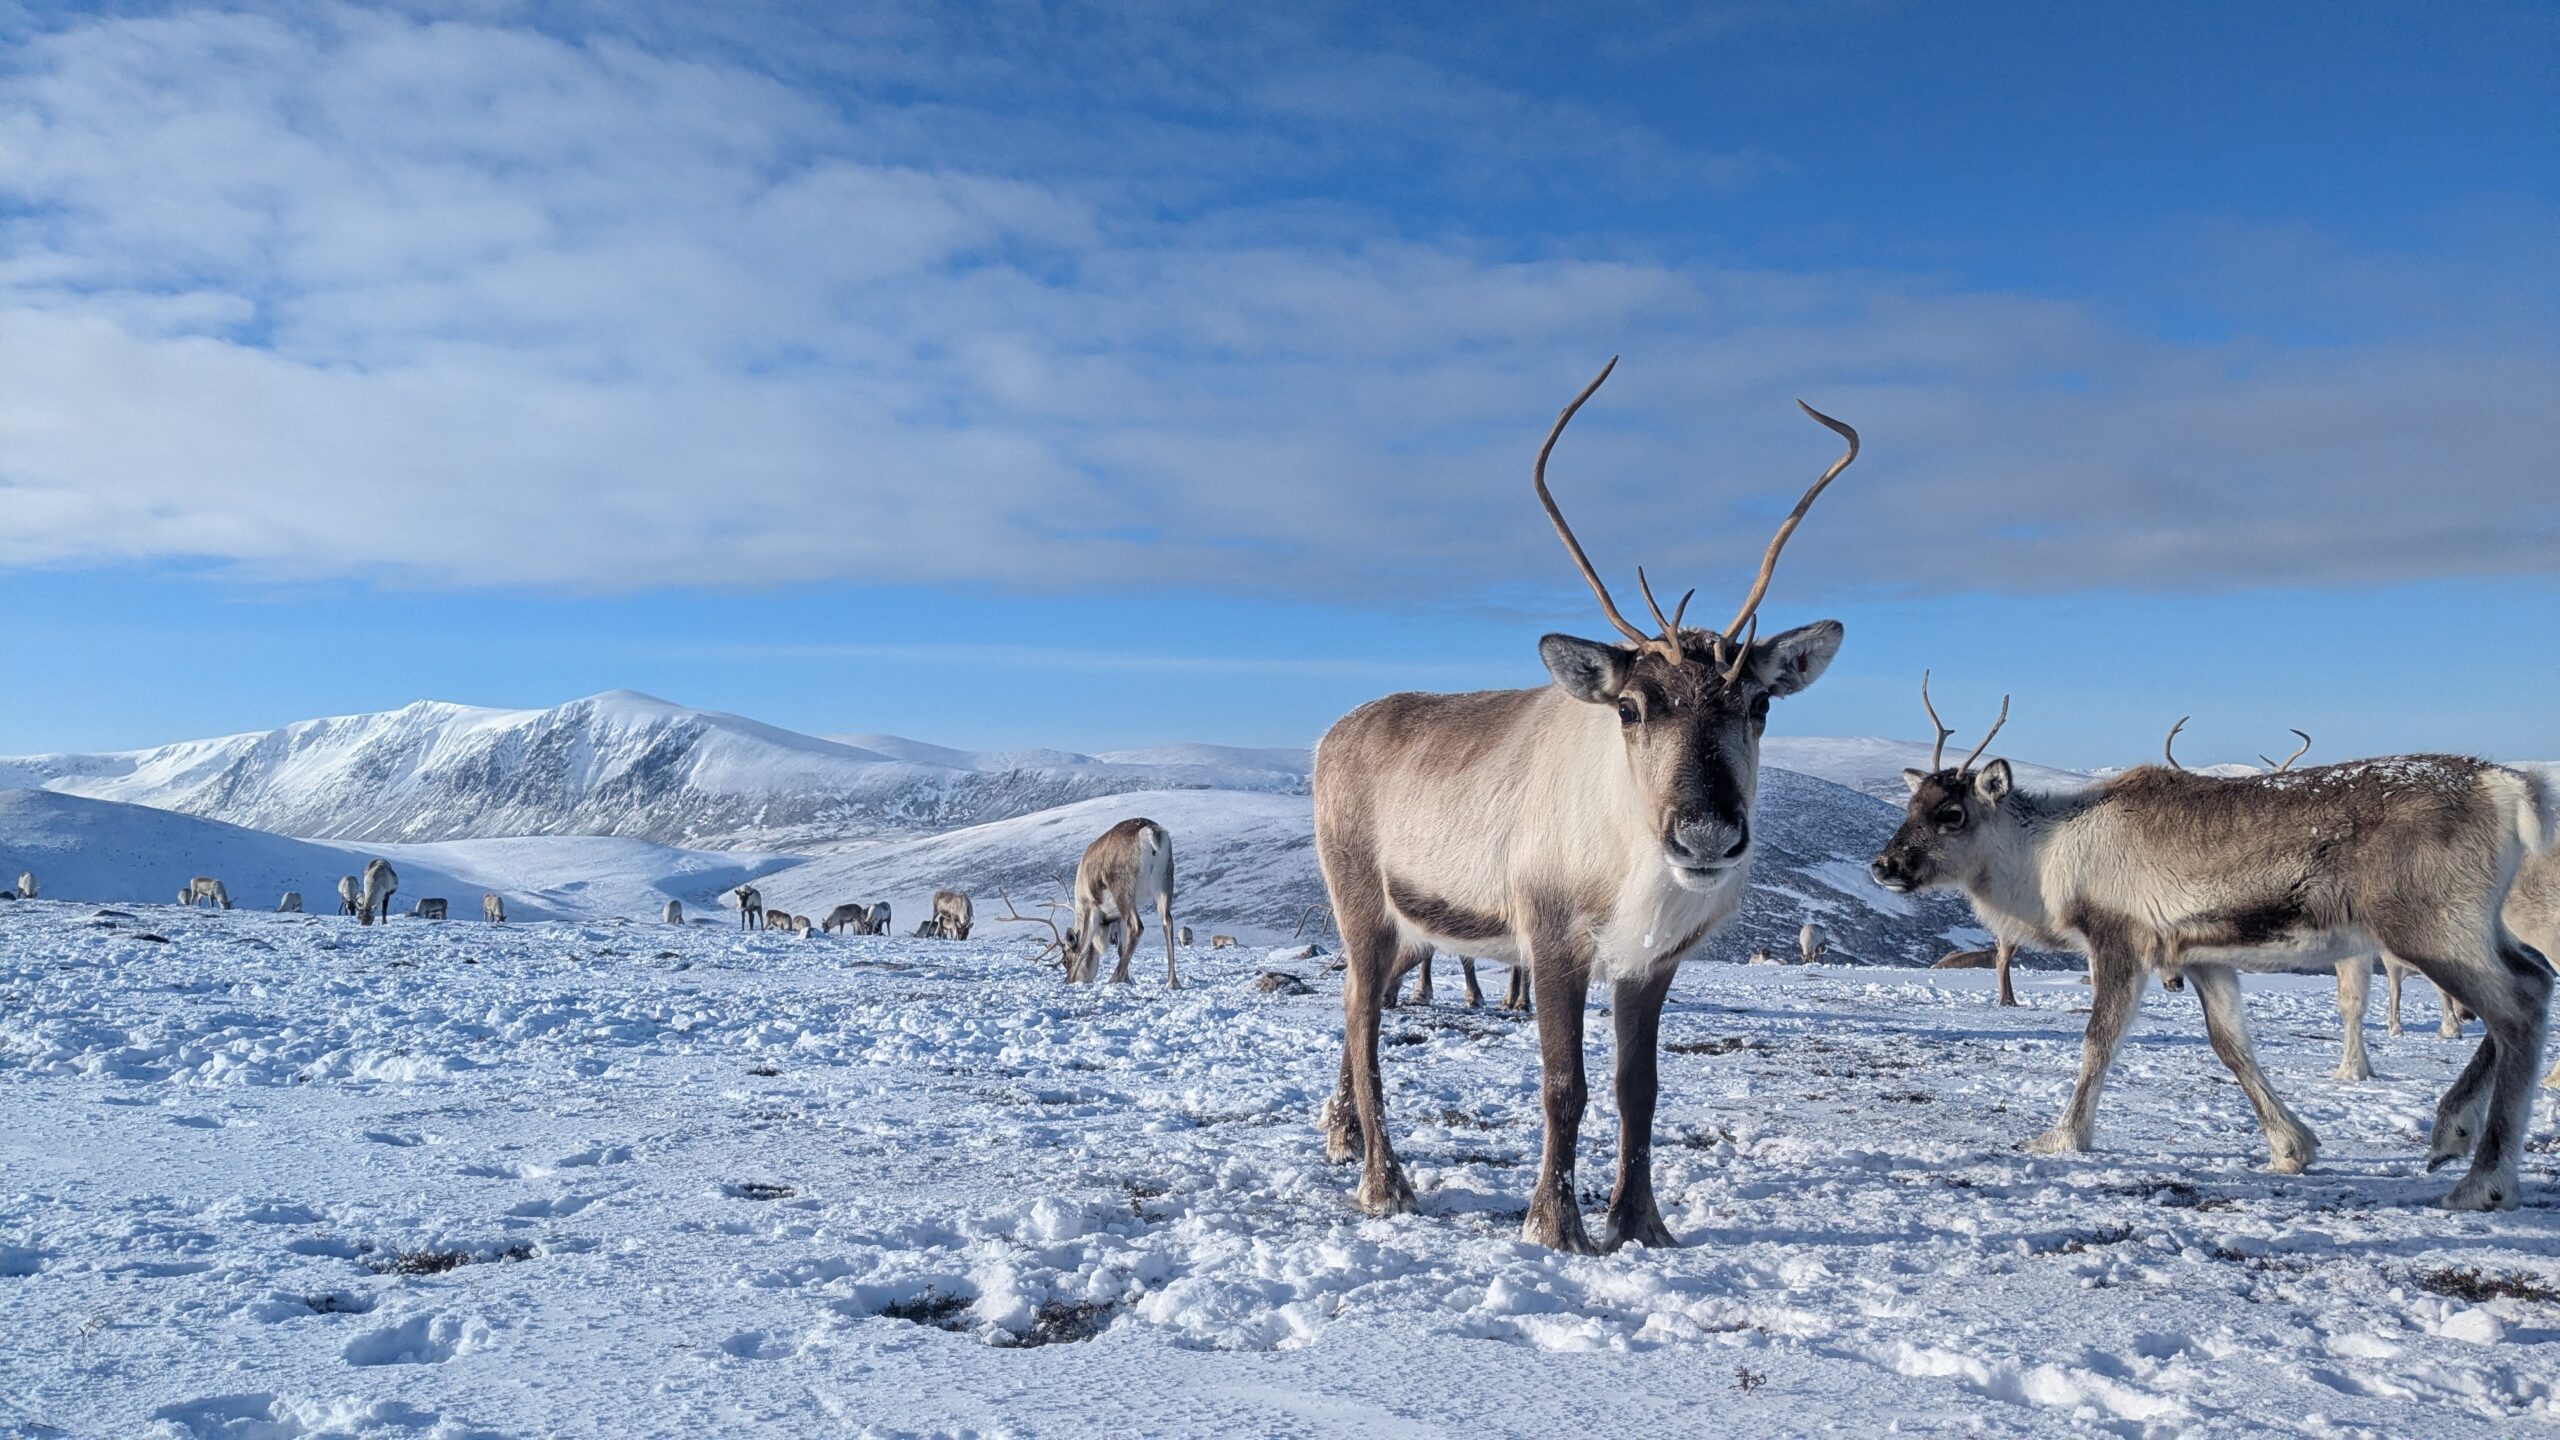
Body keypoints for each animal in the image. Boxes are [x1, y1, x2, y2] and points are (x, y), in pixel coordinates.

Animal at [1063, 818, 1178, 987]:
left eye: (1065, 961)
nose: (1068, 979)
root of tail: (1150, 830)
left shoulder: (1091, 906)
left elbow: (1083, 947)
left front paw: (1069, 980)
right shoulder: (1119, 917)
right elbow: (1121, 949)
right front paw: (1127, 980)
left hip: (1123, 891)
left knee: (1137, 927)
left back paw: (1113, 978)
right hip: (1164, 883)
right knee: (1167, 921)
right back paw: (1172, 982)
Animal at [1314, 359, 1859, 1252]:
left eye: (1759, 704)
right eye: (1631, 707)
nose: (1706, 832)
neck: (1628, 864)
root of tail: (1330, 736)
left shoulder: (1653, 959)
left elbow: (1641, 1089)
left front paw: (1640, 1222)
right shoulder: (1552, 936)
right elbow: (1563, 1082)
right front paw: (1554, 1223)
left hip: (1415, 925)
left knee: (1356, 1003)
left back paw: (1342, 1134)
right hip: (1361, 905)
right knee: (1363, 1021)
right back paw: (1383, 1181)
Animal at [1871, 687, 2555, 1209]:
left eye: (1952, 813)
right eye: (1911, 804)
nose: (1884, 865)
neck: (2047, 854)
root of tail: (2510, 785)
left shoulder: (2119, 940)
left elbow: (2098, 1042)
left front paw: (2062, 1138)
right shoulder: (2203, 958)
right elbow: (2232, 1048)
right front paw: (2291, 1146)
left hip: (2429, 925)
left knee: (2517, 1006)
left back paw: (2484, 1182)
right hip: (2475, 924)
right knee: (2536, 979)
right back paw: (2451, 1130)